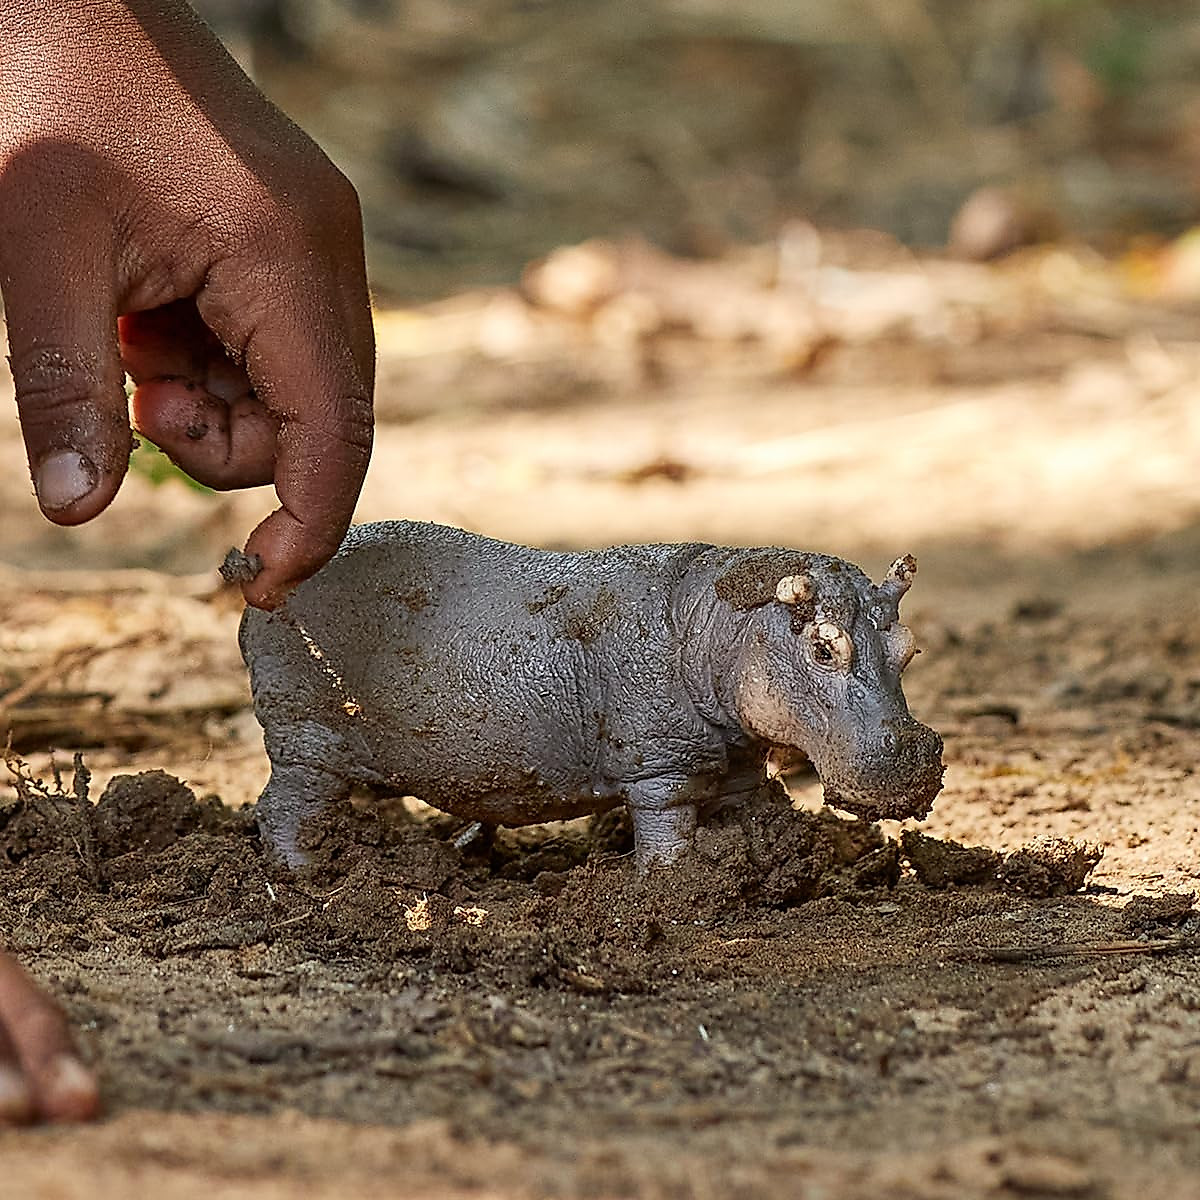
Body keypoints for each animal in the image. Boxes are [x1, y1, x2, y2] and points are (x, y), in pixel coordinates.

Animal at [240, 521, 943, 871]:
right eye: (823, 647)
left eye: (910, 647)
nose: (912, 756)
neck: (726, 619)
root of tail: (255, 584)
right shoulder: (662, 765)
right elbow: (667, 832)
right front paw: (672, 888)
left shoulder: (737, 756)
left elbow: (750, 808)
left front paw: (766, 863)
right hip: (309, 738)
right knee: (282, 808)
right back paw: (306, 876)